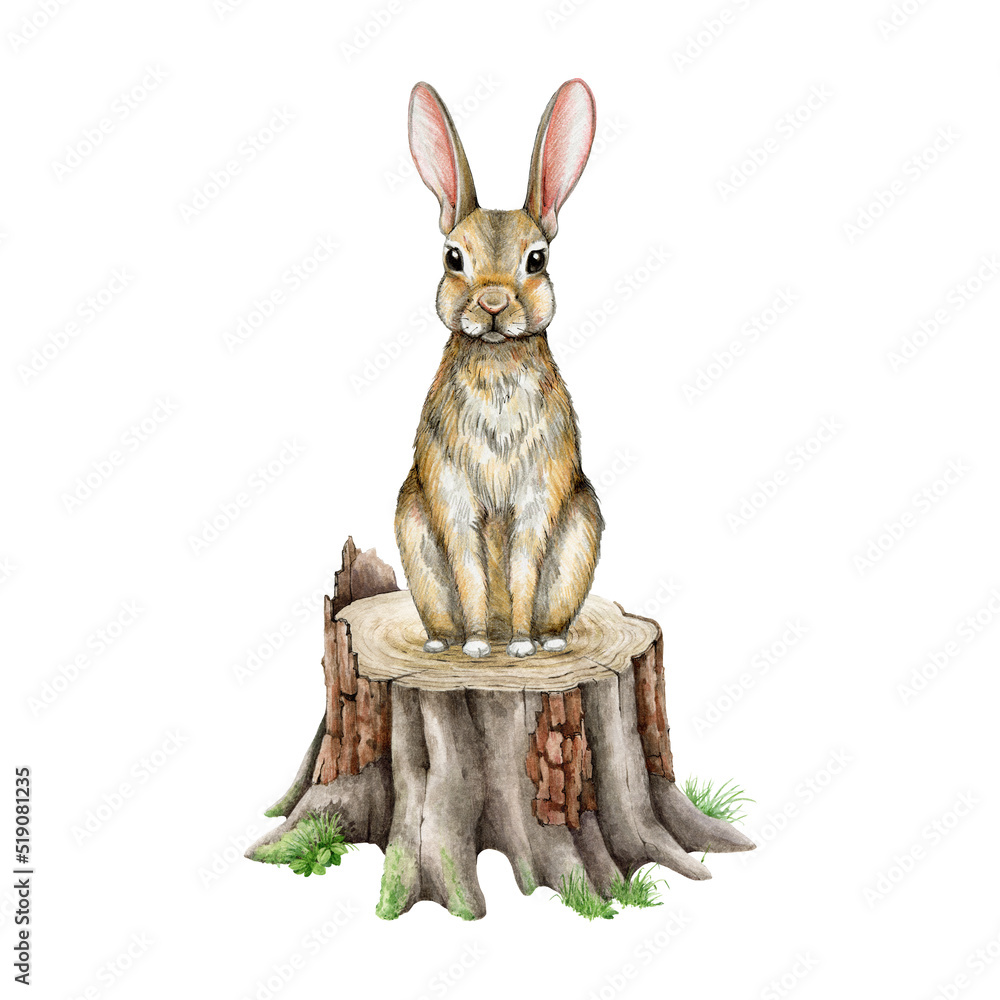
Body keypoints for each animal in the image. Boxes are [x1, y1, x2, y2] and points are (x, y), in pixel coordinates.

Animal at [395, 79, 604, 659]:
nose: (492, 302)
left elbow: (524, 571)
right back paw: (445, 642)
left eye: (536, 260)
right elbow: (469, 571)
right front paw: (476, 646)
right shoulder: (450, 497)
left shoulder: (538, 498)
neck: (496, 358)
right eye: (452, 258)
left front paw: (520, 646)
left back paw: (546, 639)